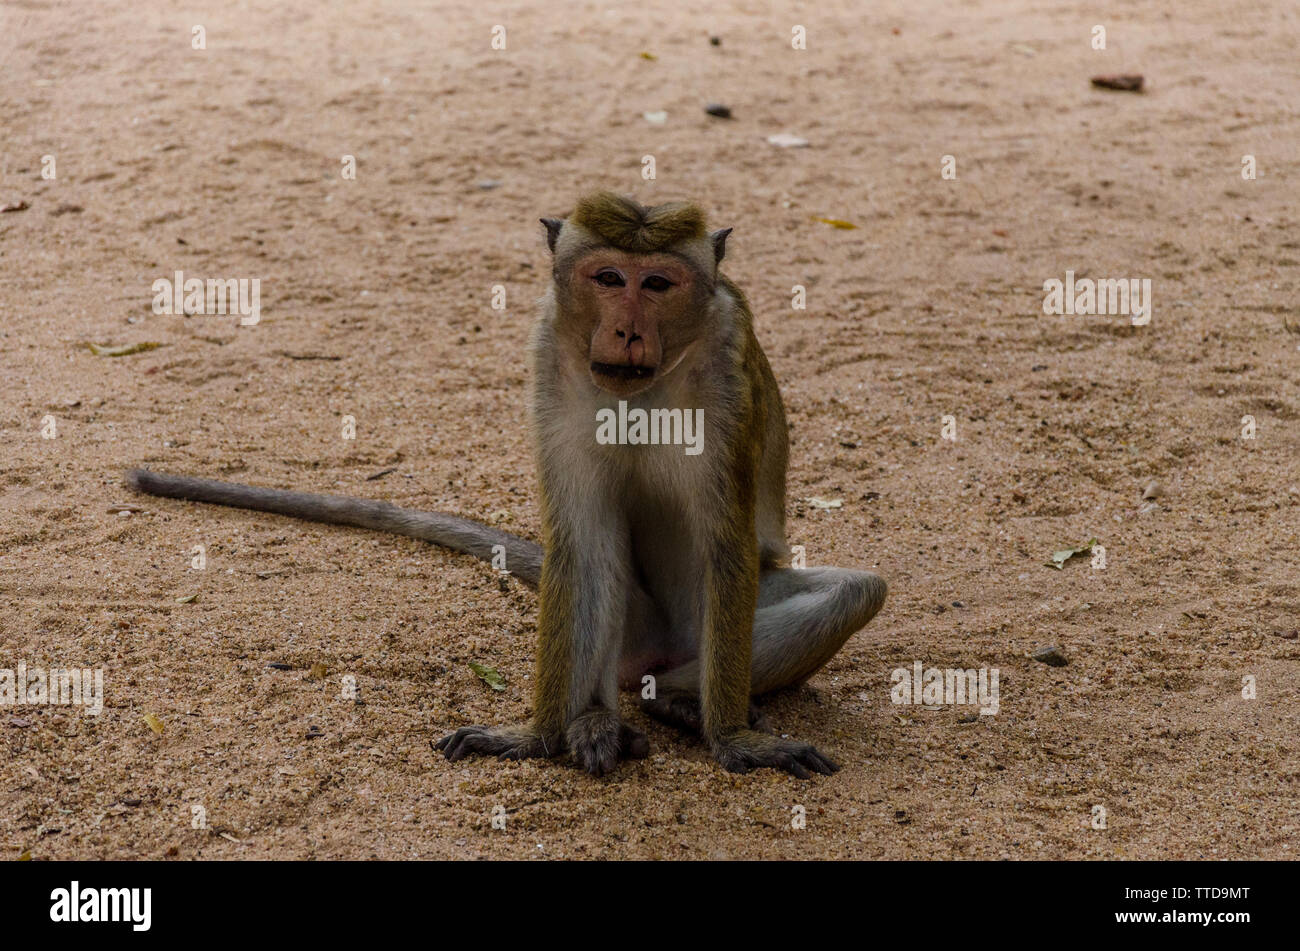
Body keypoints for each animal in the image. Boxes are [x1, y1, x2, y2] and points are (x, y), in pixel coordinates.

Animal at [126, 191, 887, 779]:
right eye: (609, 277)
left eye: (657, 284)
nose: (627, 330)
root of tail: (661, 650)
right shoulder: (549, 352)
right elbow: (583, 541)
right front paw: (536, 736)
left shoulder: (727, 374)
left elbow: (728, 546)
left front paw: (733, 739)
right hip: (637, 629)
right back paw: (595, 721)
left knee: (854, 592)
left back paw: (676, 701)